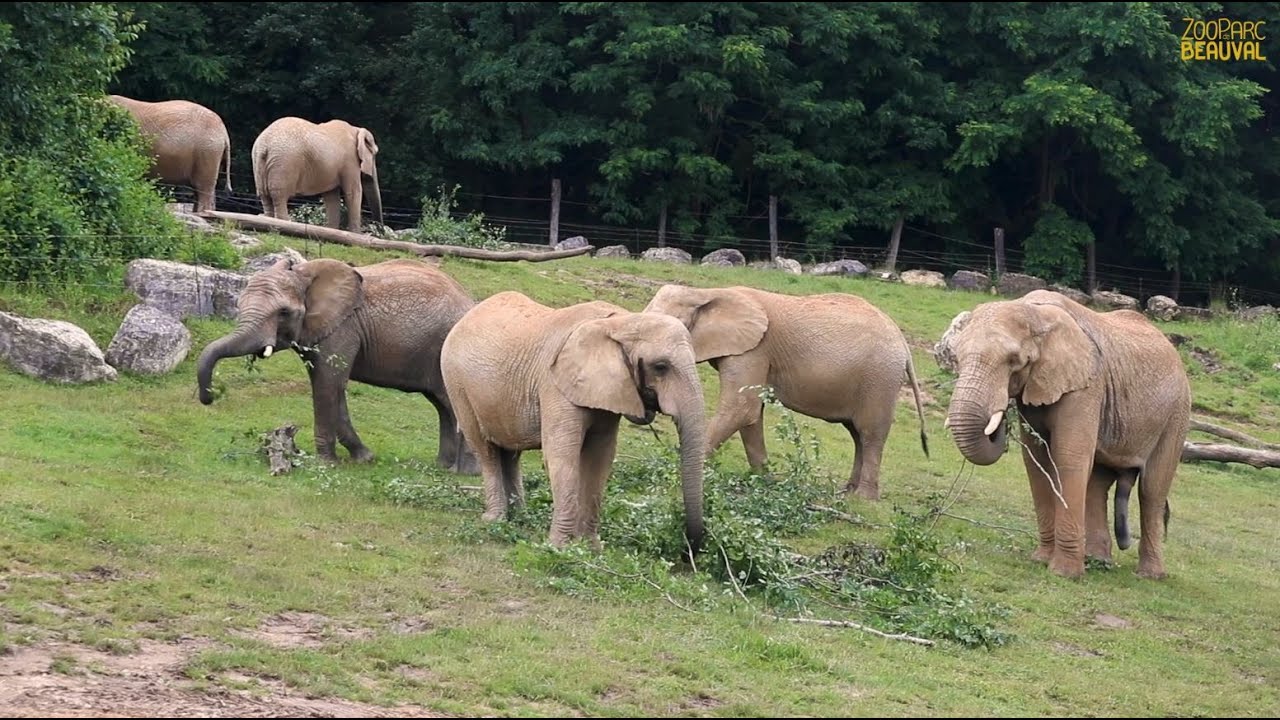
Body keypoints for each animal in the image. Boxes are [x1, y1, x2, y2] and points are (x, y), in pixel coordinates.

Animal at [196, 257, 478, 474]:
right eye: (238, 305)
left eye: (284, 313)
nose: (210, 397)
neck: (304, 274)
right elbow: (332, 386)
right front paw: (364, 459)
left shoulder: (342, 328)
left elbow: (327, 383)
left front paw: (325, 464)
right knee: (442, 405)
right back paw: (443, 467)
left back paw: (464, 473)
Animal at [251, 117, 383, 232]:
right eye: (375, 154)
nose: (379, 230)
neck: (356, 129)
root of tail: (264, 146)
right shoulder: (350, 160)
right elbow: (353, 192)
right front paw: (356, 234)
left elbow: (331, 197)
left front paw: (331, 231)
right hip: (283, 163)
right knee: (279, 197)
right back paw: (283, 224)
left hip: (259, 162)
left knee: (265, 197)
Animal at [440, 291, 707, 553]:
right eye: (661, 367)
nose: (690, 547)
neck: (621, 322)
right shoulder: (555, 385)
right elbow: (561, 455)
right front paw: (558, 547)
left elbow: (600, 457)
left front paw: (590, 547)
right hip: (457, 383)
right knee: (485, 449)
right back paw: (494, 519)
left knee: (510, 452)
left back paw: (519, 517)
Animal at [643, 284, 929, 501]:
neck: (705, 293)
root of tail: (903, 343)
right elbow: (751, 414)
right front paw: (763, 479)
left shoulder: (754, 351)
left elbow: (741, 407)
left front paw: (678, 469)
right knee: (857, 434)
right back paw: (846, 493)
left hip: (879, 380)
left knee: (870, 434)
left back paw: (862, 499)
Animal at [939, 289, 1191, 580]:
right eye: (956, 358)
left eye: (1014, 361)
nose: (1000, 418)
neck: (1035, 312)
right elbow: (1036, 462)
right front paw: (1041, 560)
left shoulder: (1086, 385)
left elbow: (1069, 459)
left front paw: (1064, 573)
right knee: (1098, 484)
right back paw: (1097, 561)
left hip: (1177, 414)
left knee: (1152, 489)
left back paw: (1149, 575)